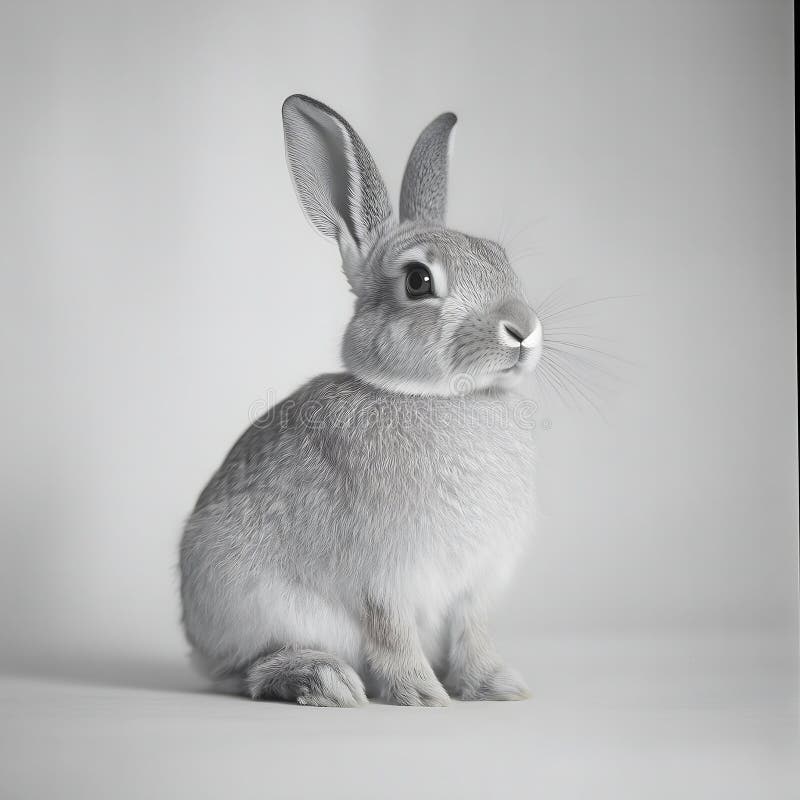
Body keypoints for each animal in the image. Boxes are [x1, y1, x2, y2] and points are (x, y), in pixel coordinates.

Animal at [179, 94, 544, 707]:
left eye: (500, 259)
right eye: (419, 281)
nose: (523, 328)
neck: (435, 396)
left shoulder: (476, 586)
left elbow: (474, 636)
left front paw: (497, 688)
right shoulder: (383, 580)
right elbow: (393, 637)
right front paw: (423, 696)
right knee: (248, 669)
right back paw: (323, 680)